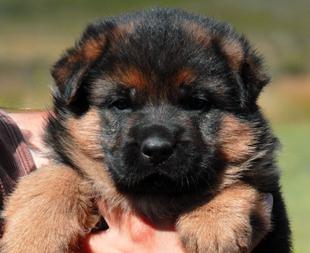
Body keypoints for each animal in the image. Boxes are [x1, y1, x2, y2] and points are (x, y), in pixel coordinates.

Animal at [0, 8, 290, 253]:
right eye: (120, 104)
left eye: (197, 103)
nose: (157, 149)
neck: (152, 198)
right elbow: (57, 175)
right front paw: (34, 235)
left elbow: (236, 179)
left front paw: (214, 223)